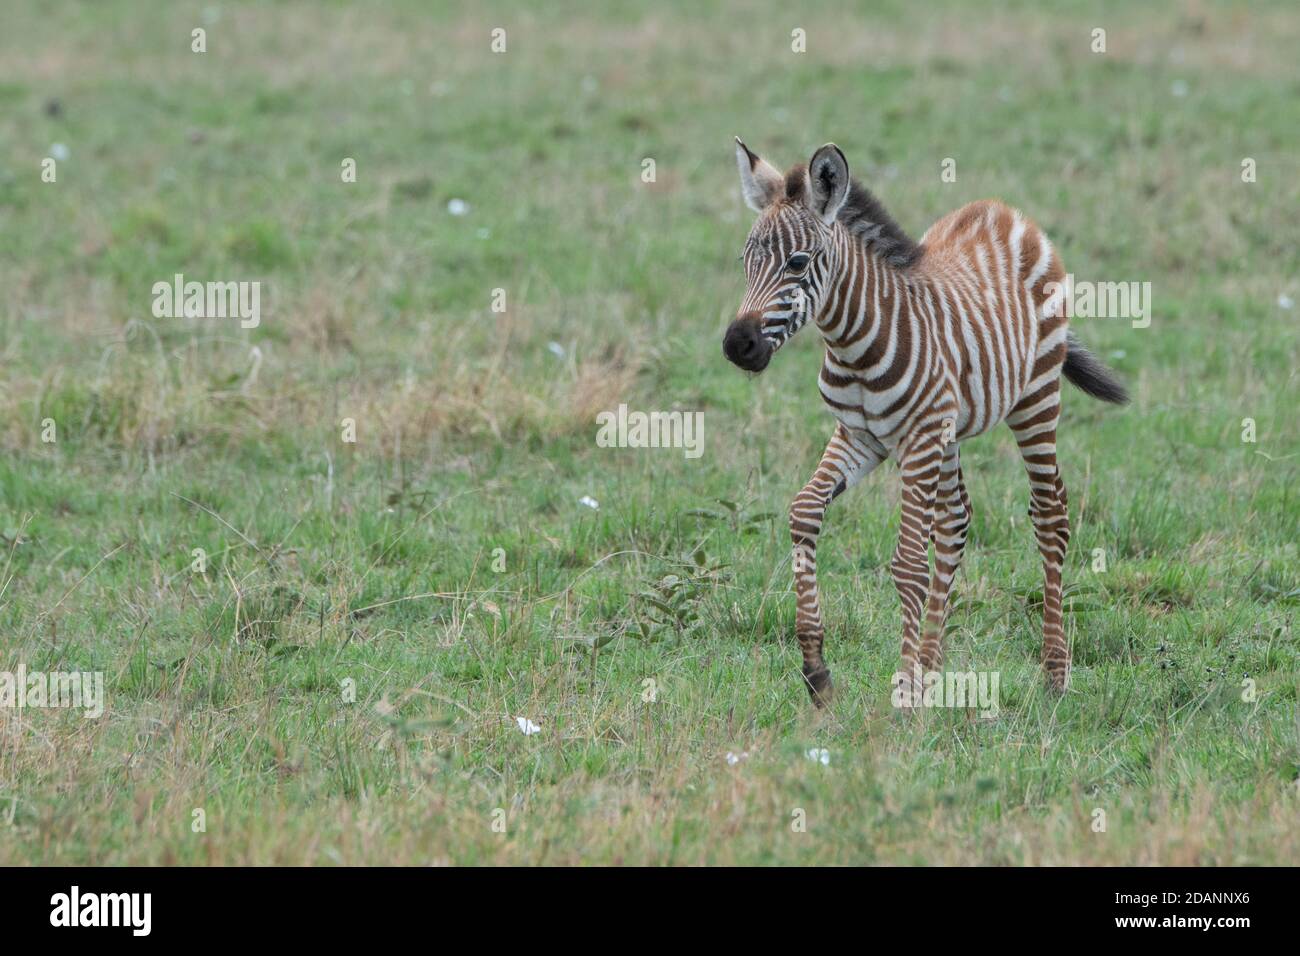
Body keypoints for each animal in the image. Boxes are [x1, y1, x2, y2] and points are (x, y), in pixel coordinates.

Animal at [723, 138, 1128, 707]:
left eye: (798, 262)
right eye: (746, 261)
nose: (738, 345)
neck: (853, 344)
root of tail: (1001, 211)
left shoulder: (915, 440)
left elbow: (910, 562)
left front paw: (905, 691)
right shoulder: (861, 435)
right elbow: (804, 511)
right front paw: (819, 672)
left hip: (1035, 398)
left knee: (1050, 514)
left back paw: (1053, 673)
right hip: (948, 431)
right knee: (956, 521)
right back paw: (935, 668)